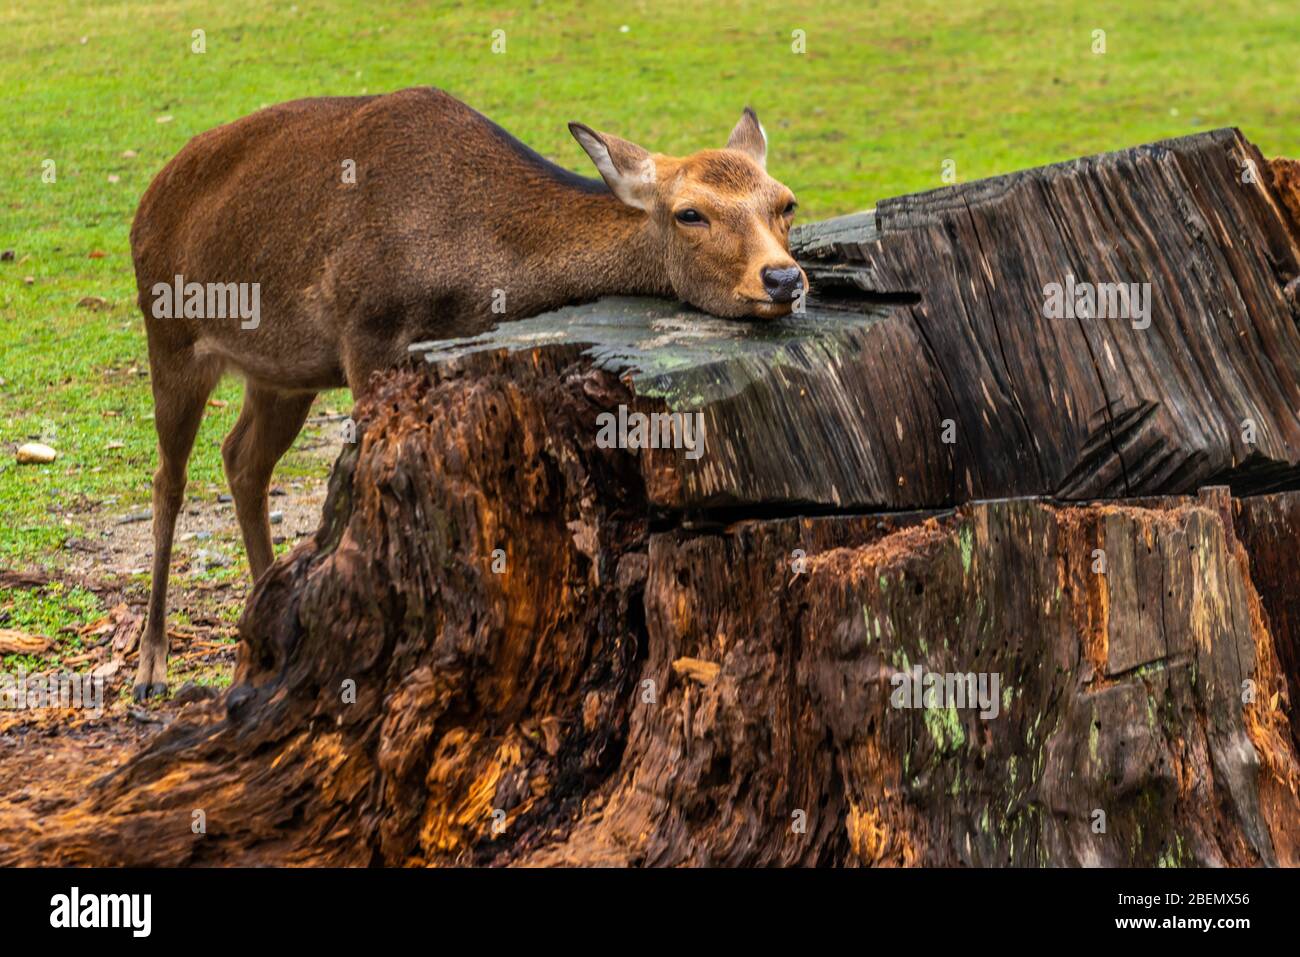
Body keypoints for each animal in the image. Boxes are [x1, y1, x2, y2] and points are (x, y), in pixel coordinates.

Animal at [129, 86, 807, 699]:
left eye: (786, 203)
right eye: (690, 213)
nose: (783, 278)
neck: (479, 268)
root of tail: (145, 200)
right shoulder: (366, 332)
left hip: (282, 374)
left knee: (242, 458)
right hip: (169, 332)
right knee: (170, 478)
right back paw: (151, 668)